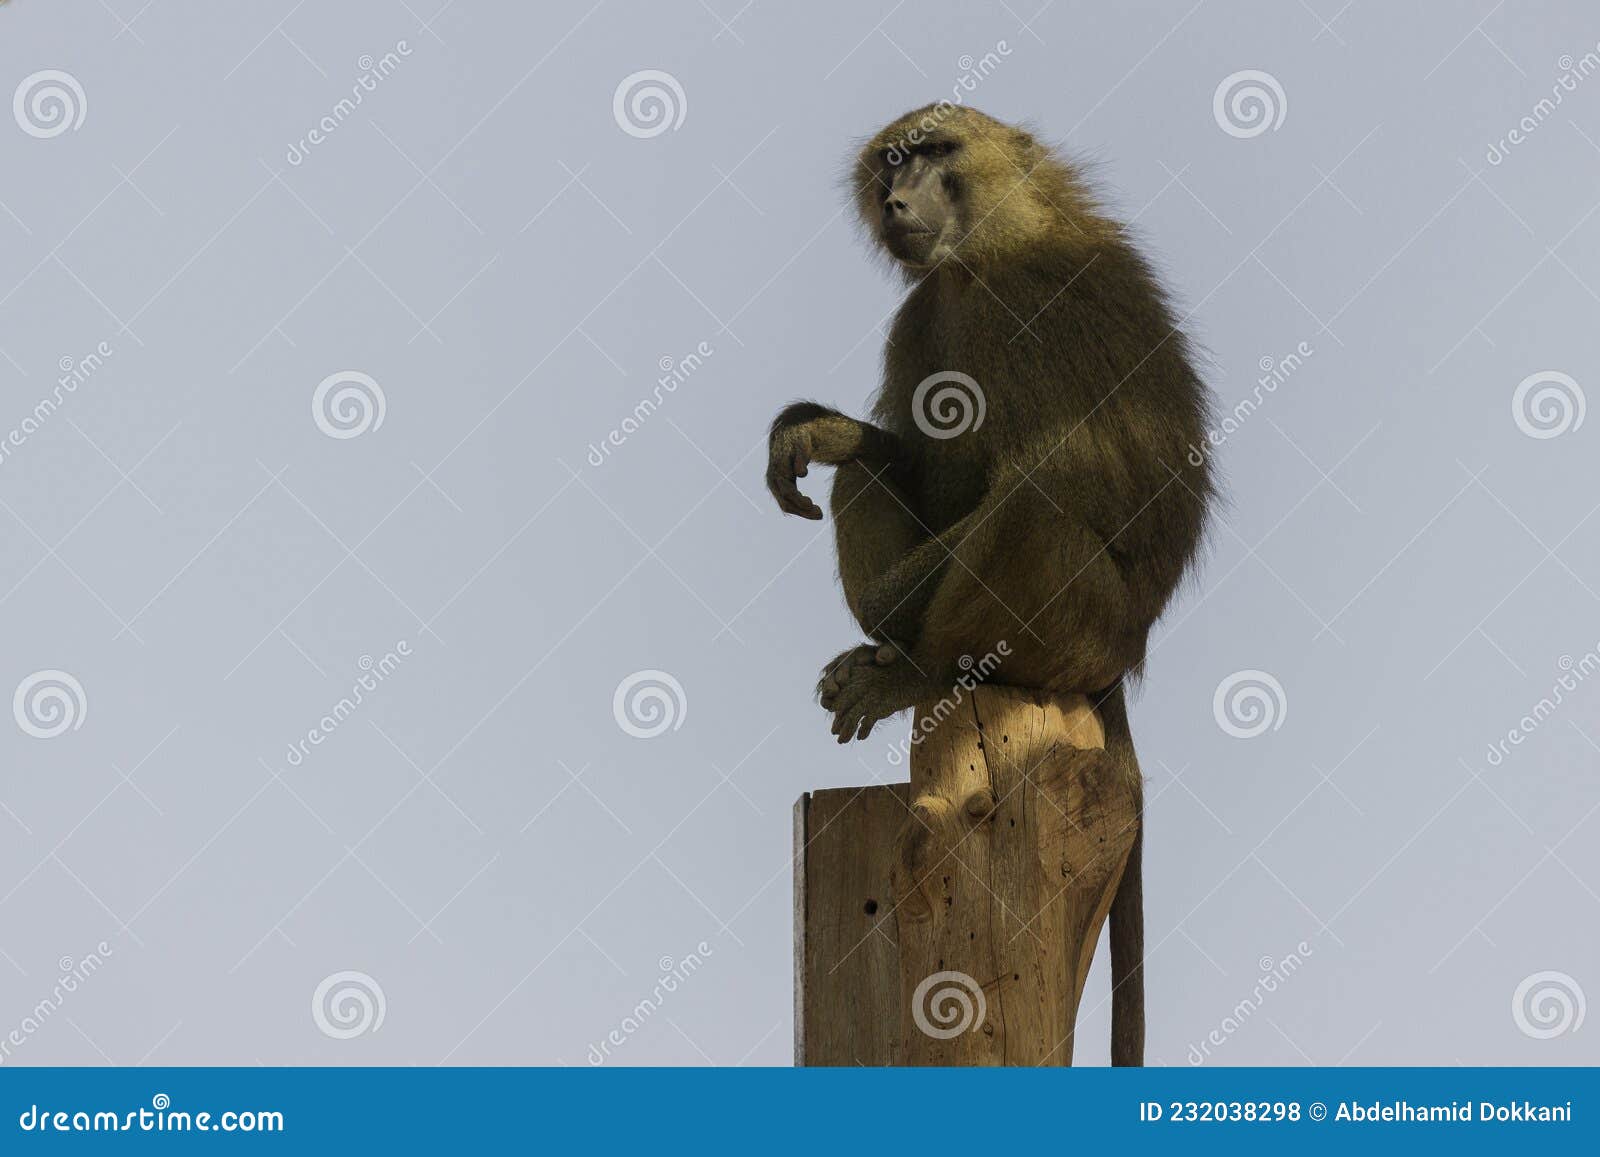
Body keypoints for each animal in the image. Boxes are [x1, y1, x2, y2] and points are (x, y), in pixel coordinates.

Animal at [765, 105, 1215, 1066]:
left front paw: (882, 643)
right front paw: (822, 430)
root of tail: (1126, 659)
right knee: (871, 477)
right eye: (892, 162)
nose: (898, 200)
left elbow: (1060, 478)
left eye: (936, 153)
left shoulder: (1037, 298)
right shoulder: (927, 309)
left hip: (1084, 633)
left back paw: (917, 670)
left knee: (1034, 507)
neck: (986, 256)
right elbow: (910, 462)